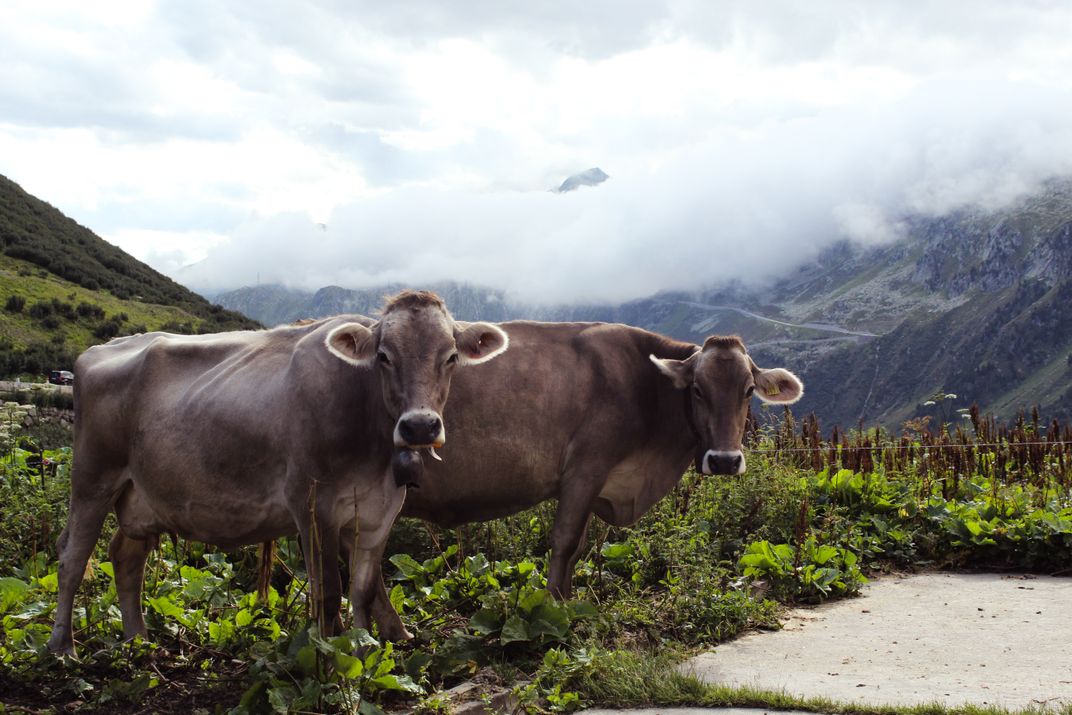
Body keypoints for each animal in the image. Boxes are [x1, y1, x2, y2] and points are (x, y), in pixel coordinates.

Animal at [47, 291, 508, 655]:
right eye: (383, 356)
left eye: (451, 357)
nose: (419, 427)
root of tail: (101, 348)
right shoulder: (311, 503)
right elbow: (328, 591)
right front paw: (330, 659)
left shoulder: (380, 511)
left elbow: (363, 590)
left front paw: (364, 650)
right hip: (92, 478)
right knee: (72, 556)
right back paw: (62, 647)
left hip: (142, 496)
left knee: (126, 557)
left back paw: (138, 641)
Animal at [358, 323, 802, 639]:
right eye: (697, 389)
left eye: (748, 390)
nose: (725, 460)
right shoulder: (585, 468)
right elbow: (565, 542)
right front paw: (555, 612)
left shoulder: (596, 483)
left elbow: (578, 549)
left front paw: (570, 605)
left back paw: (397, 634)